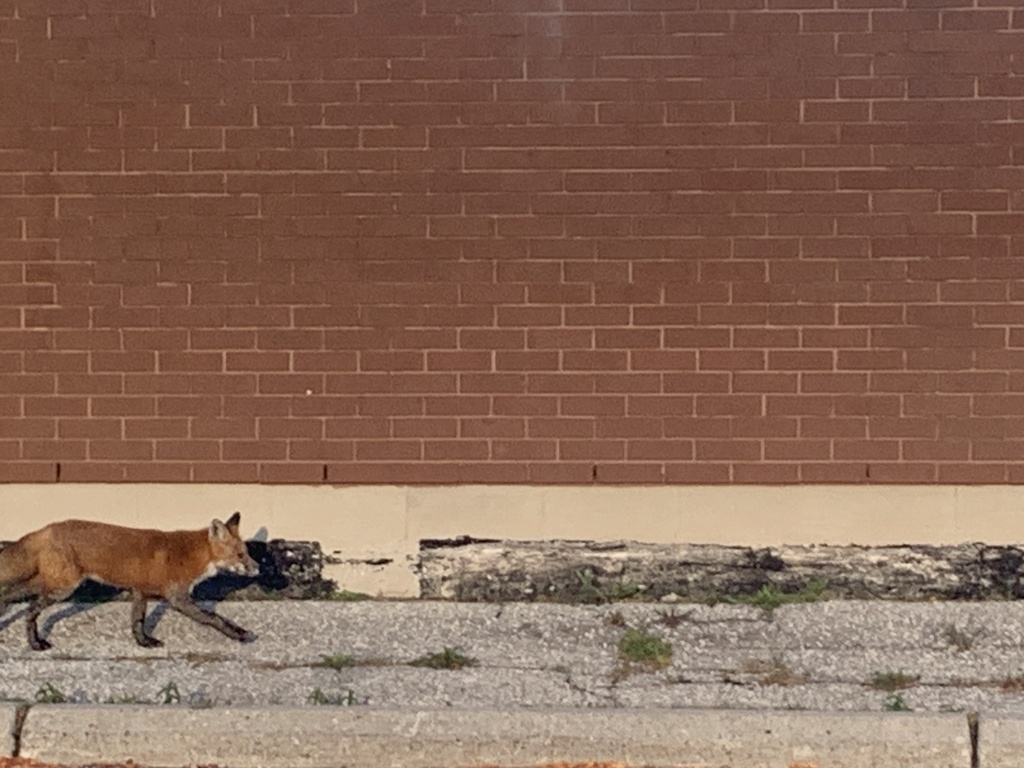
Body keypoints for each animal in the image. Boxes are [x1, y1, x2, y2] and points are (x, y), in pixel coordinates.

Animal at [0, 511, 260, 651]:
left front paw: (143, 642)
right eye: (240, 555)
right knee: (29, 609)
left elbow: (138, 621)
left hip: (49, 582)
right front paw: (239, 634)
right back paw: (35, 643)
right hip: (62, 587)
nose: (258, 568)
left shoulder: (140, 591)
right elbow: (214, 618)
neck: (192, 554)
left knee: (9, 596)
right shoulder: (178, 598)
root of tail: (45, 529)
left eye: (247, 552)